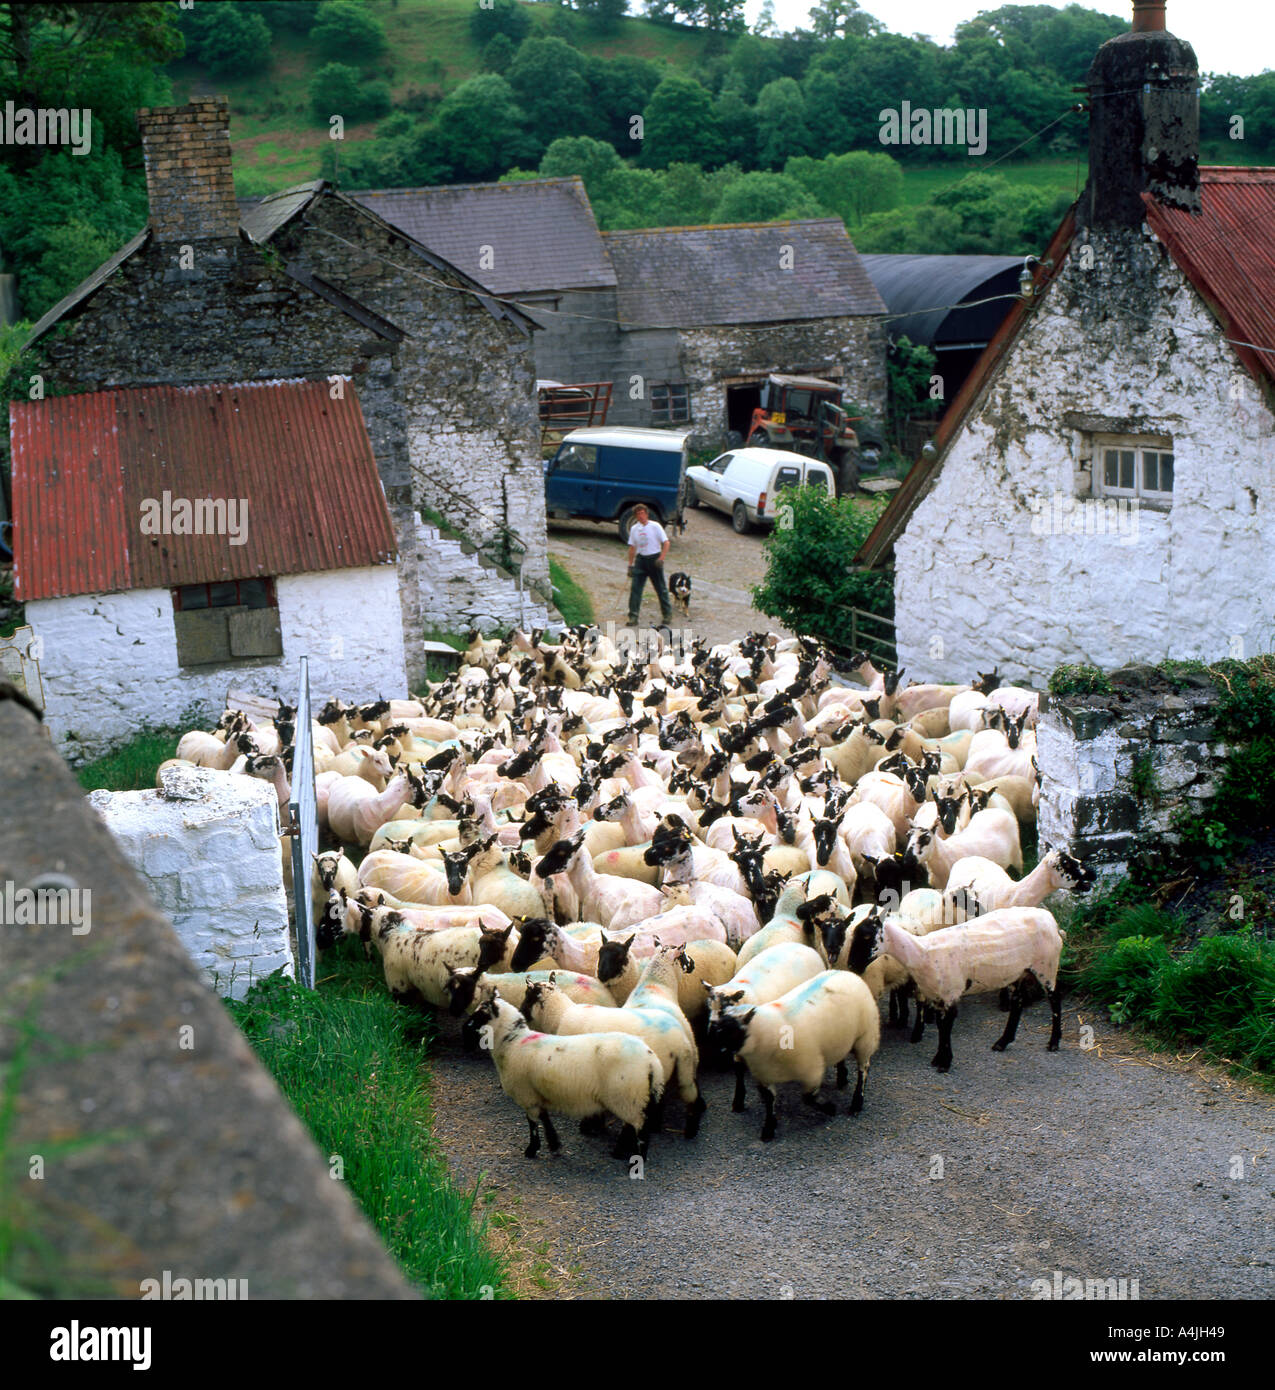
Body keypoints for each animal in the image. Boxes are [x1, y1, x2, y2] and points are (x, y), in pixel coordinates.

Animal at [469, 989, 663, 1160]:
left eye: (480, 1014)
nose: (466, 1028)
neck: (512, 1042)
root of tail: (652, 1061)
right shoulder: (537, 1093)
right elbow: (545, 1119)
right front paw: (554, 1144)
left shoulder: (527, 1095)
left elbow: (532, 1123)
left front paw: (532, 1149)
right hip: (631, 1098)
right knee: (632, 1126)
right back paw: (619, 1152)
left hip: (627, 1096)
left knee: (640, 1128)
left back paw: (635, 1158)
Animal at [707, 970, 880, 1141]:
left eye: (732, 1031)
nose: (718, 1052)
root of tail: (848, 973)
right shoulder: (764, 1075)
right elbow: (769, 1101)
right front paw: (769, 1128)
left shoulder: (811, 1069)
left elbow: (808, 1098)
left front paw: (830, 1108)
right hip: (840, 1038)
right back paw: (842, 1079)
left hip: (865, 1038)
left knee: (864, 1070)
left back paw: (857, 1103)